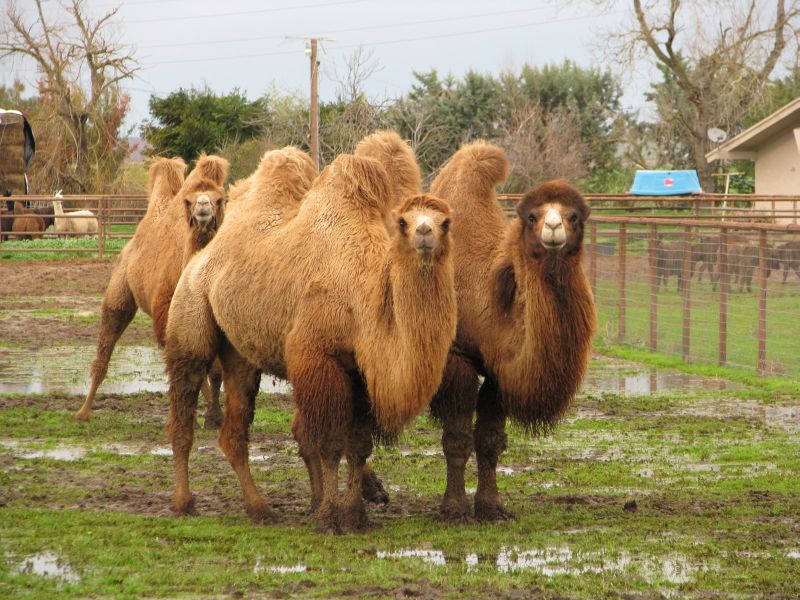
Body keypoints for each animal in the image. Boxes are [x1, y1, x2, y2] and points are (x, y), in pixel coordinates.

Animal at [75, 155, 229, 426]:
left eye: (220, 198)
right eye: (188, 200)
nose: (203, 207)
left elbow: (216, 369)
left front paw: (214, 416)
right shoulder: (167, 314)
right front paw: (201, 417)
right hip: (119, 290)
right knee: (107, 341)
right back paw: (84, 411)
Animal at [164, 147, 457, 534]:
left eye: (446, 222)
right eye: (404, 222)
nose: (425, 232)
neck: (362, 298)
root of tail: (201, 257)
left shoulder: (360, 374)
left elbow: (358, 445)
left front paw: (355, 516)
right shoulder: (319, 356)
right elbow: (329, 444)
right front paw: (329, 518)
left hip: (240, 352)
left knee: (235, 430)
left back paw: (259, 508)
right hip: (190, 314)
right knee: (184, 407)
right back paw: (184, 502)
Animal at [427, 142, 596, 522]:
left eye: (574, 216)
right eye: (531, 216)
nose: (553, 227)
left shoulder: (499, 372)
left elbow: (489, 441)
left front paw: (492, 507)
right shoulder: (456, 357)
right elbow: (456, 439)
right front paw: (453, 508)